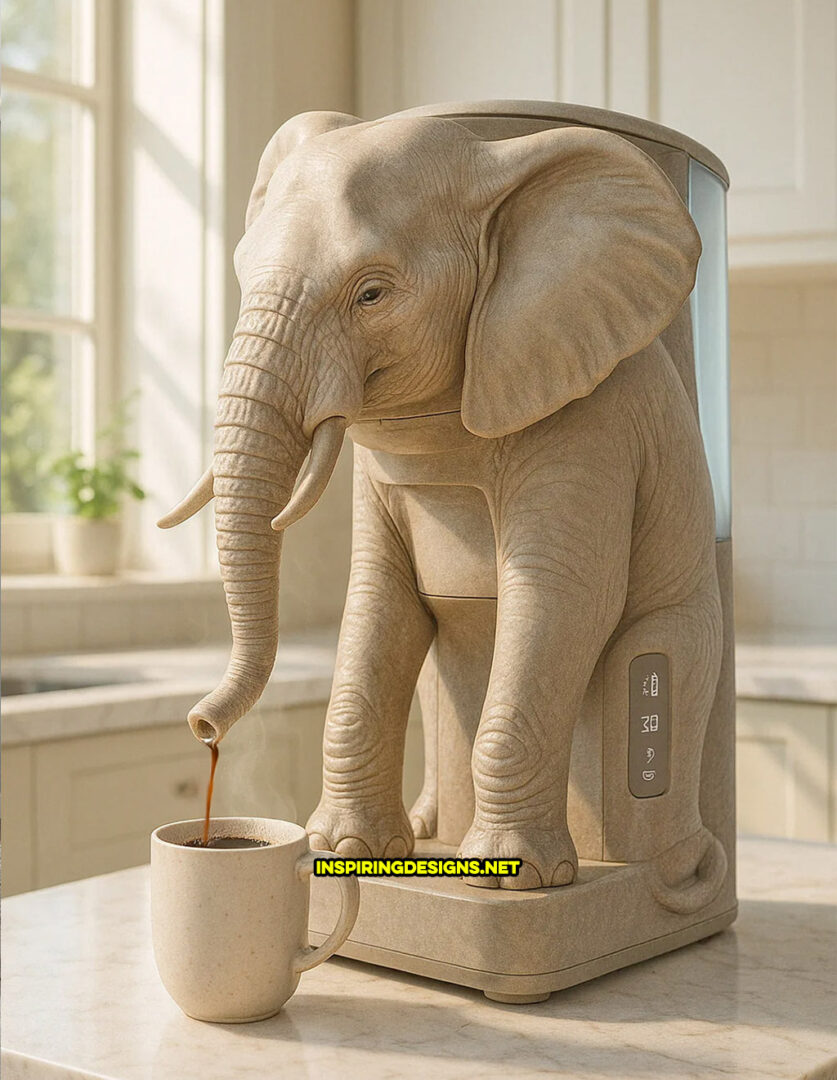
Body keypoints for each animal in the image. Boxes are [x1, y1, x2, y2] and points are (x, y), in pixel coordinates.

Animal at [161, 109, 724, 894]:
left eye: (371, 294)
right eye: (242, 273)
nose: (203, 730)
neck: (496, 162)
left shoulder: (590, 423)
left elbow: (563, 600)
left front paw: (505, 880)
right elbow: (378, 603)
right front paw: (344, 852)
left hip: (679, 644)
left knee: (654, 657)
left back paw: (665, 871)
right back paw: (431, 828)